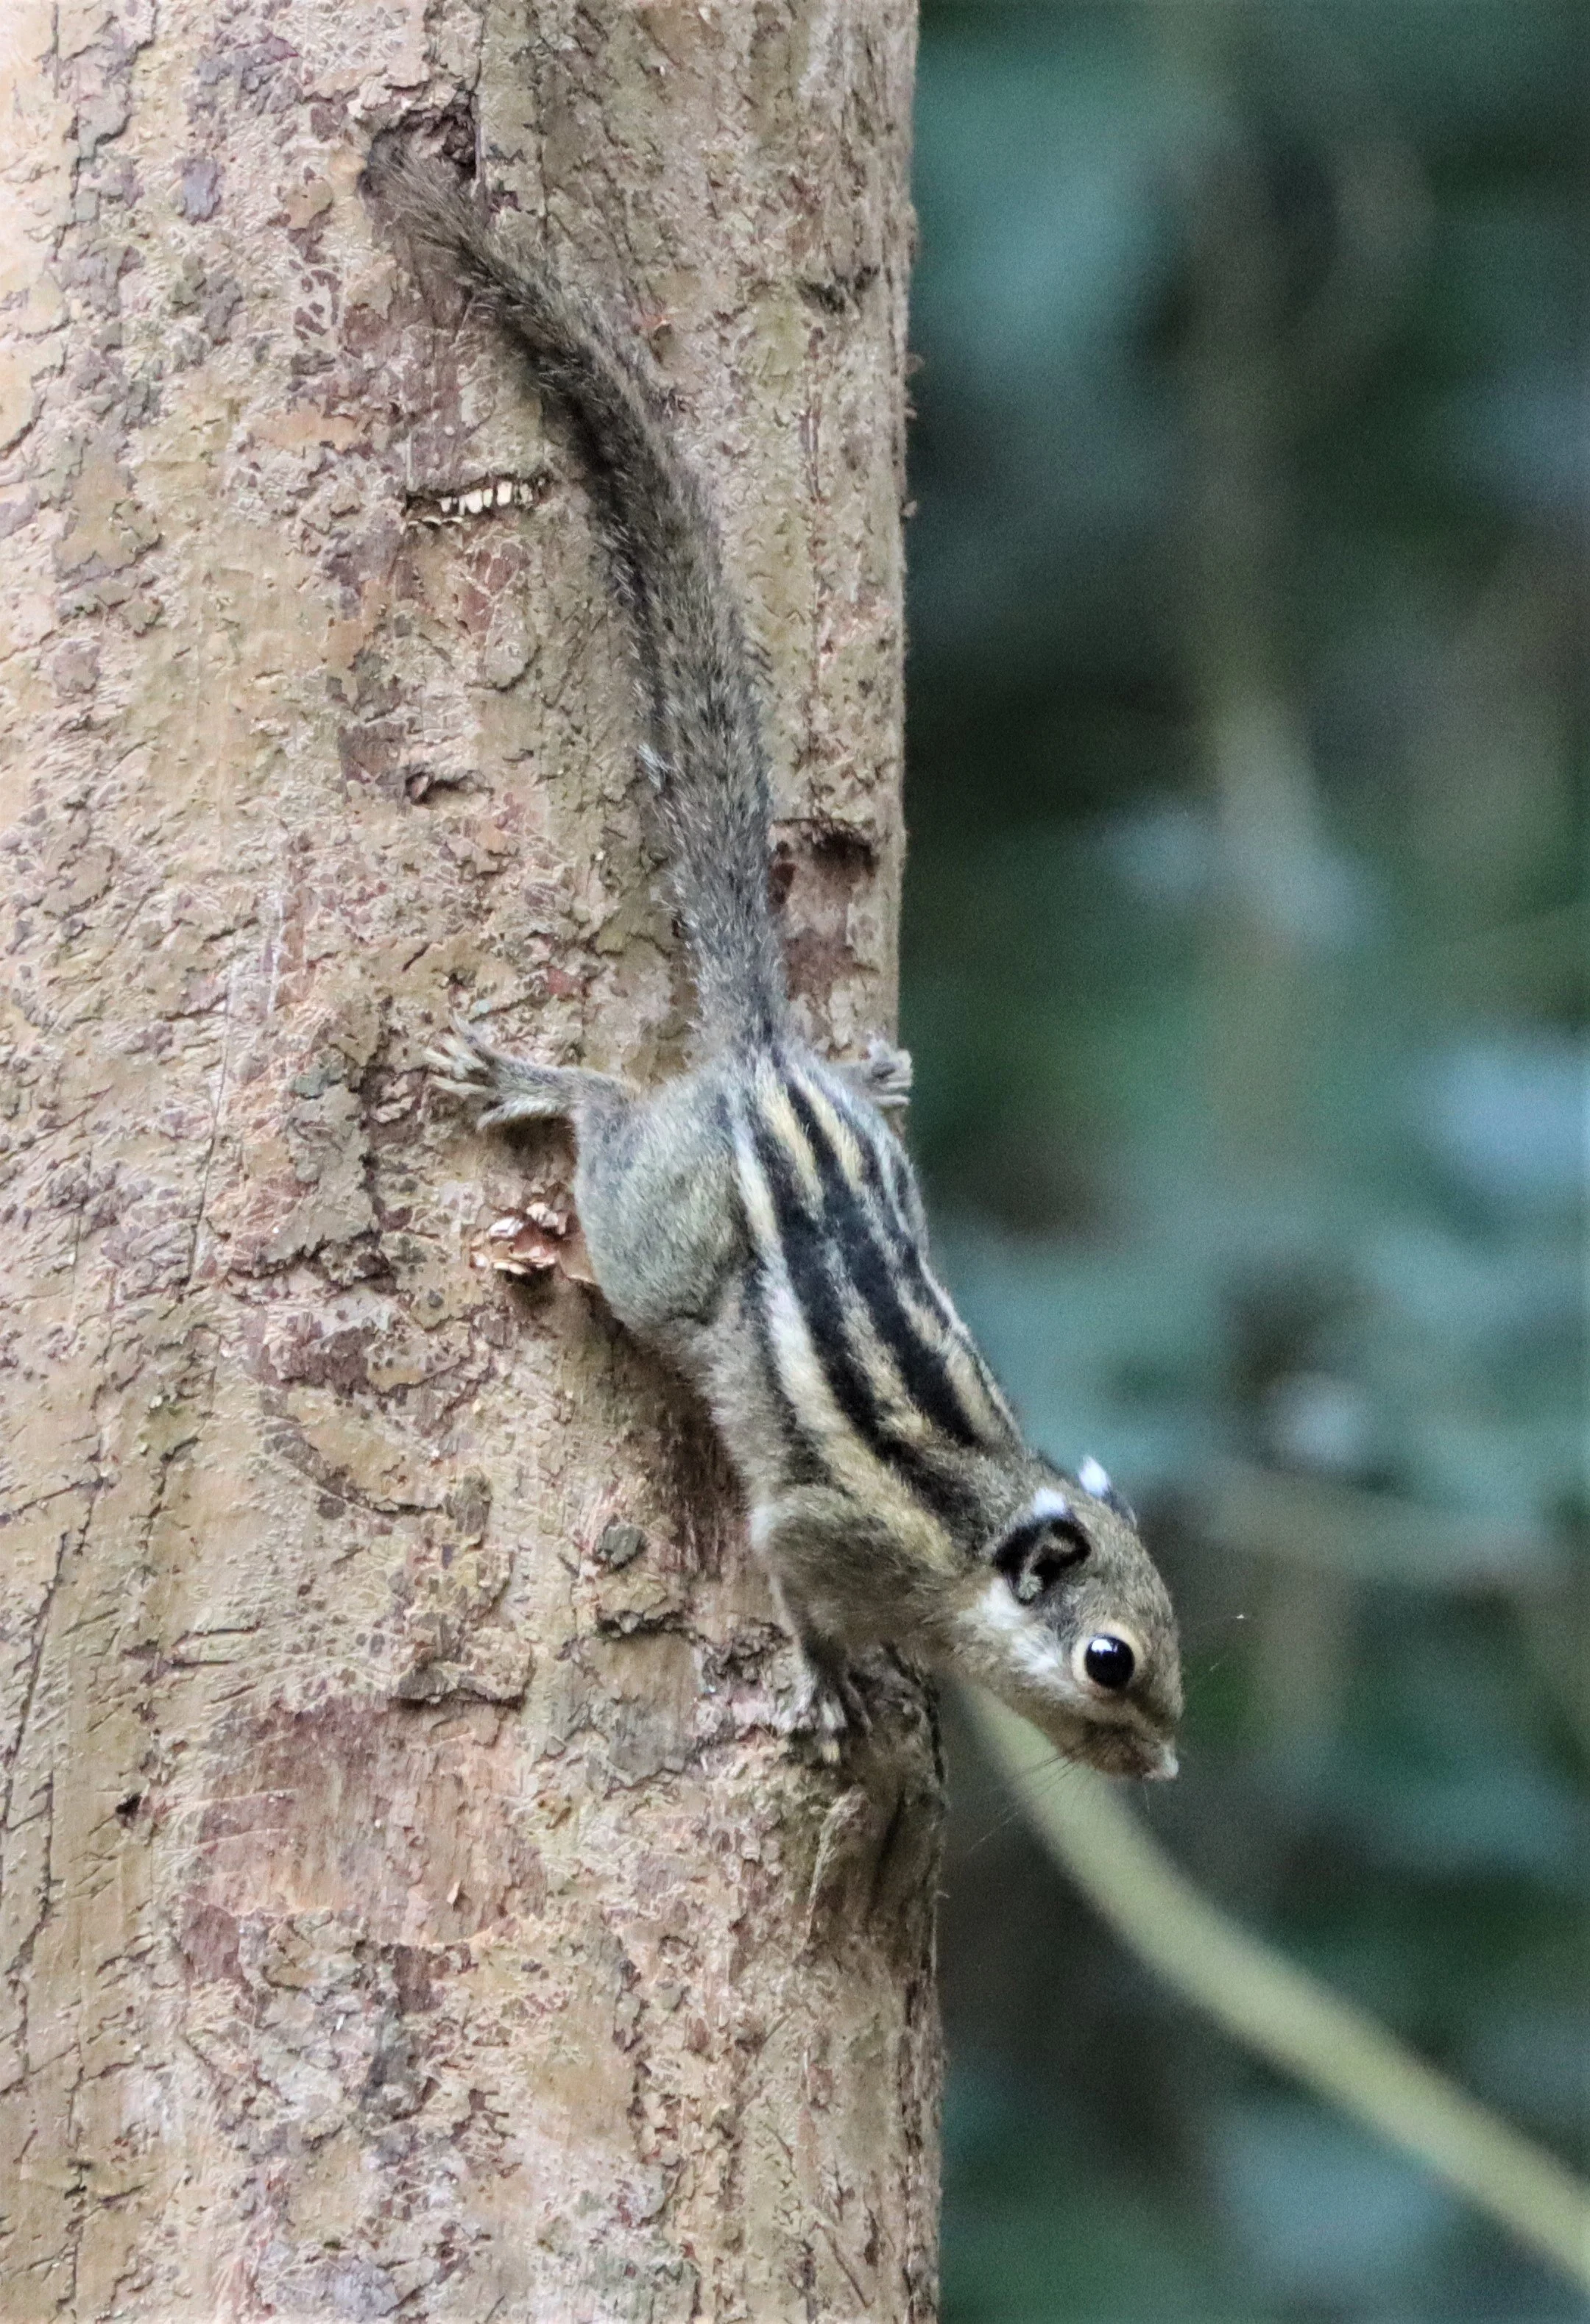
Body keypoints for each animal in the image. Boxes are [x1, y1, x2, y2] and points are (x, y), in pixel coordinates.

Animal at [369, 143, 1182, 1779]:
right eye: (1111, 1660)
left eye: (1177, 1649)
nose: (1166, 1765)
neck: (967, 1531)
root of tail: (760, 1065)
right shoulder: (821, 1529)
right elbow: (795, 1582)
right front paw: (824, 1682)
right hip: (655, 1244)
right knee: (614, 1128)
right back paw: (540, 1081)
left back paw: (867, 1063)